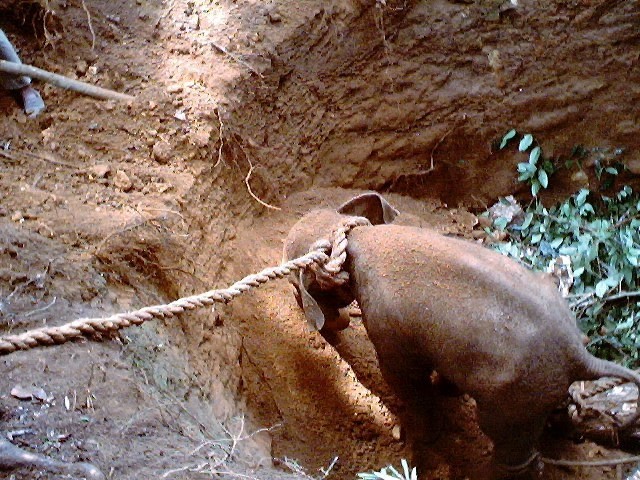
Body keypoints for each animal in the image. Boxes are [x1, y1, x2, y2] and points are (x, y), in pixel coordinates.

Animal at [282, 192, 640, 479]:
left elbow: (407, 384)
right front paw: (446, 391)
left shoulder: (390, 336)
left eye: (296, 286)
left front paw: (420, 438)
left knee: (514, 452)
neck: (359, 241)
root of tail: (580, 355)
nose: (334, 324)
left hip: (512, 404)